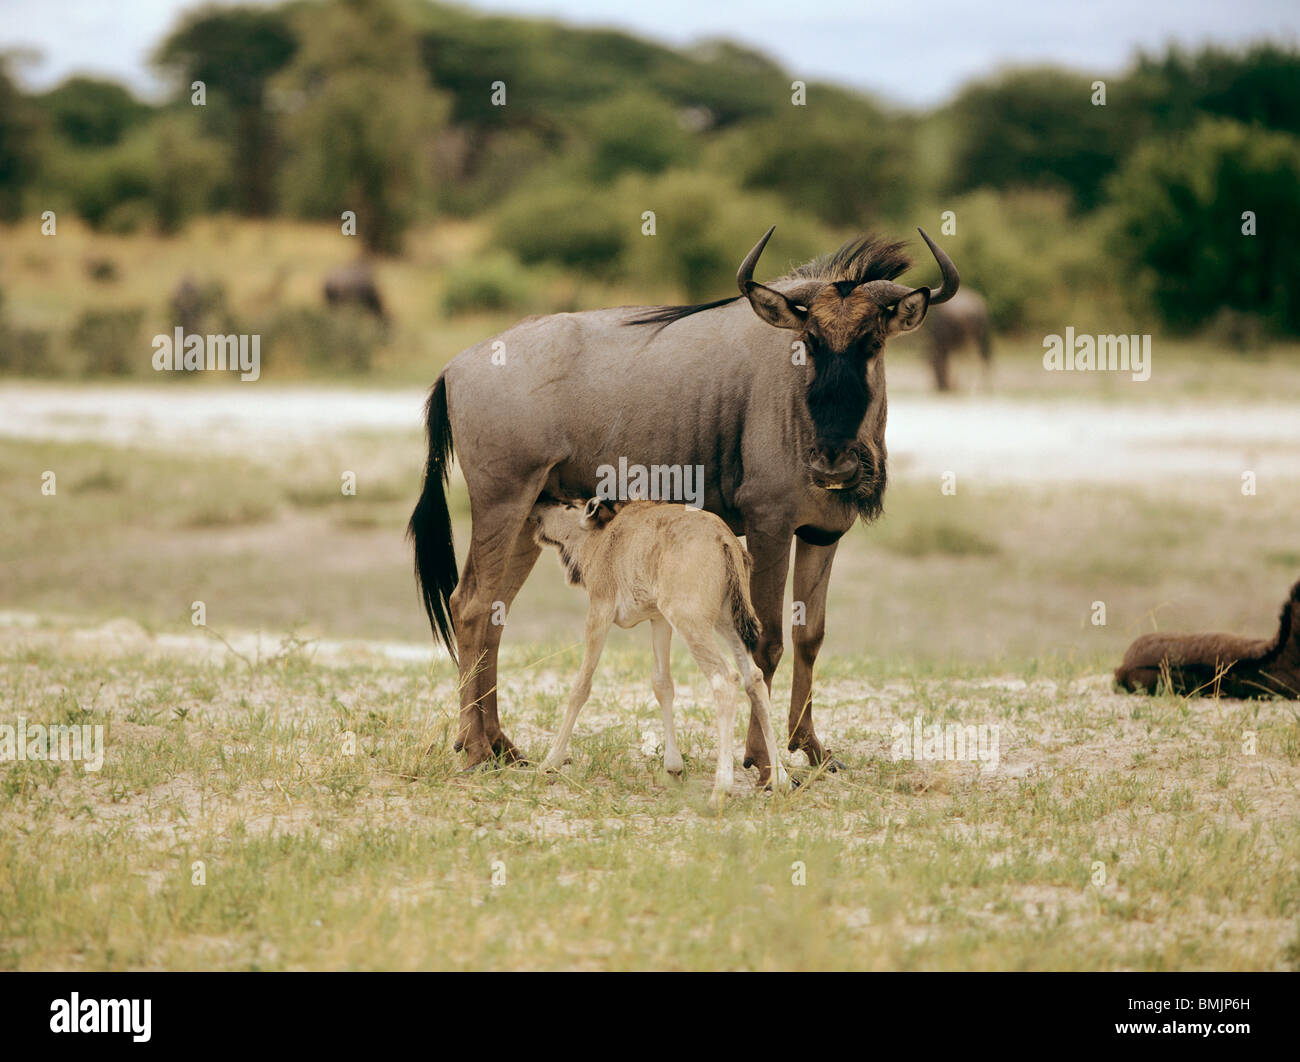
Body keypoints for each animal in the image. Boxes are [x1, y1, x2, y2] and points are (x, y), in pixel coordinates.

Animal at [530, 497, 789, 806]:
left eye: (566, 504)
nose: (536, 512)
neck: (601, 539)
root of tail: (725, 540)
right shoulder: (659, 619)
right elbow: (662, 684)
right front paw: (673, 766)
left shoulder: (599, 613)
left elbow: (581, 686)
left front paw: (550, 761)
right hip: (726, 622)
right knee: (755, 678)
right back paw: (781, 778)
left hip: (691, 621)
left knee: (725, 679)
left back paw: (720, 790)